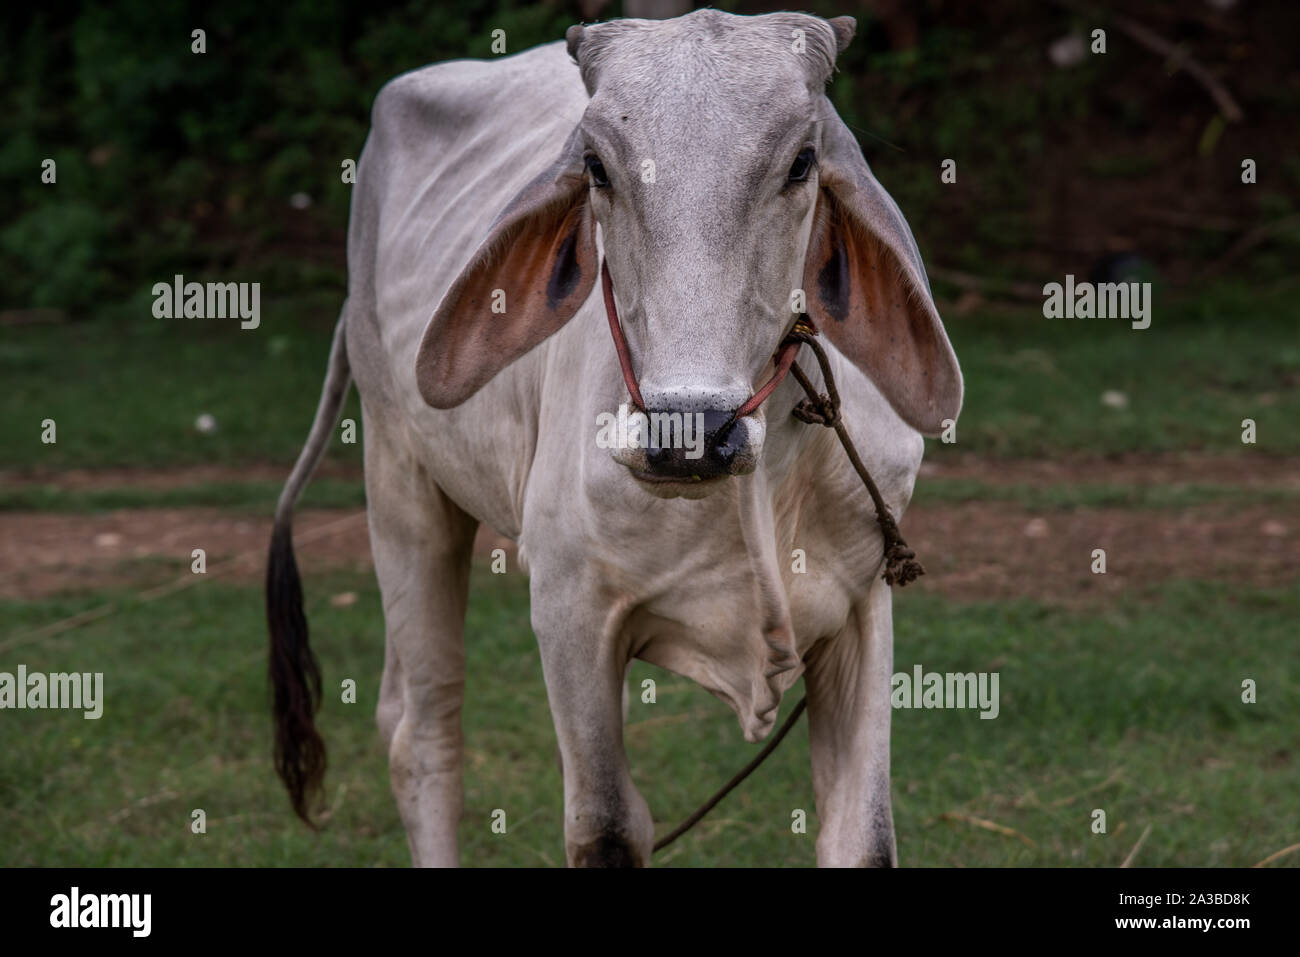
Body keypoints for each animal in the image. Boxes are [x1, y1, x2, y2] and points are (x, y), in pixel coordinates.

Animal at [267, 8, 962, 868]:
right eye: (596, 168)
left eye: (802, 162)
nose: (690, 432)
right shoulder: (569, 607)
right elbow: (604, 826)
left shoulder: (863, 603)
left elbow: (862, 837)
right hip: (401, 477)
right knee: (422, 731)